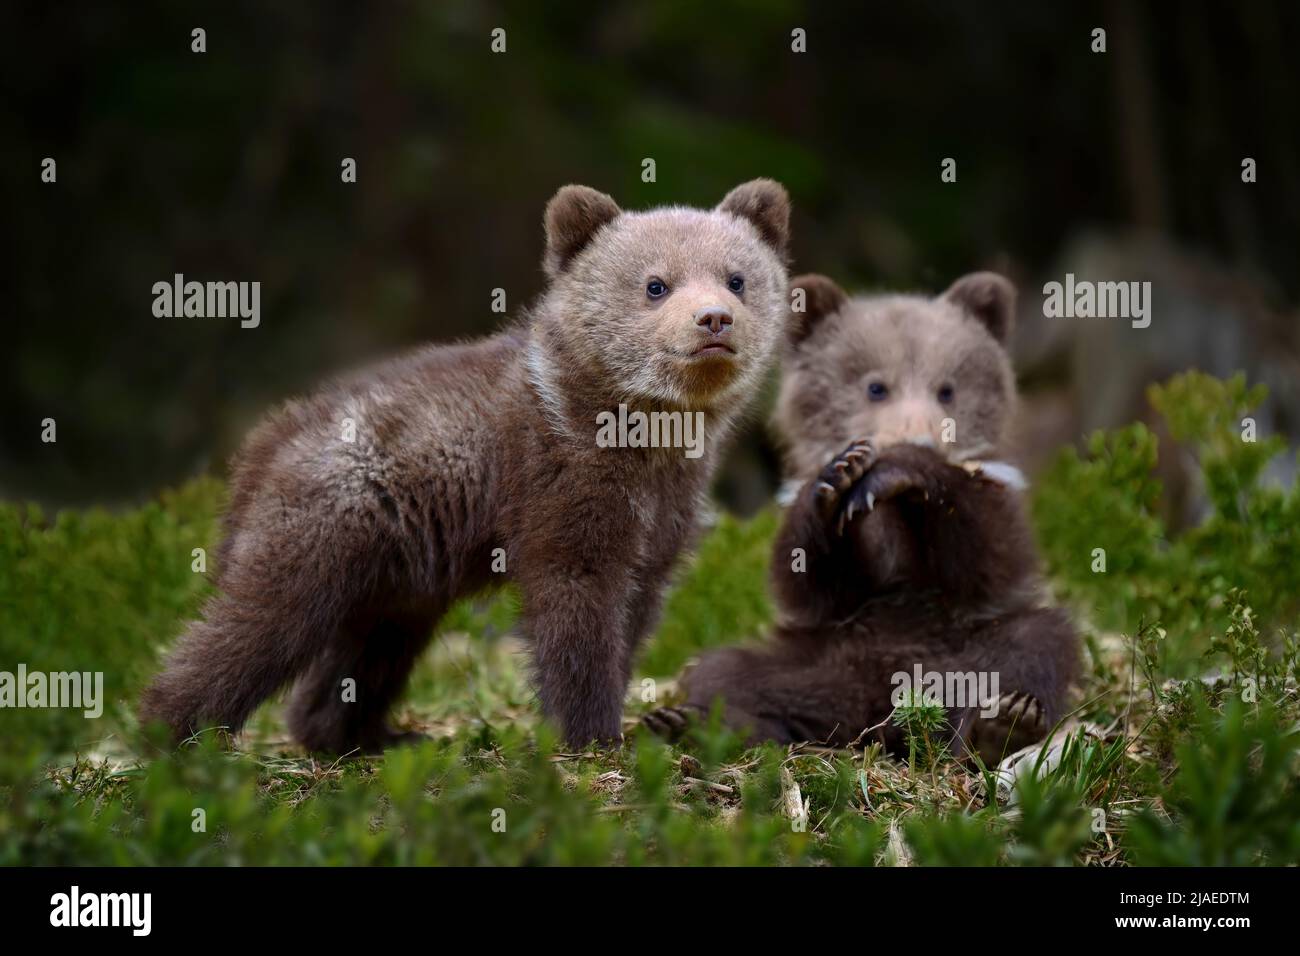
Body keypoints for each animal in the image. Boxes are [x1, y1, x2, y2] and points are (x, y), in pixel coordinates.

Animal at [139, 179, 793, 752]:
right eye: (656, 284)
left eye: (737, 278)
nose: (713, 319)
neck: (645, 430)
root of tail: (267, 441)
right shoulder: (560, 482)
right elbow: (575, 596)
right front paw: (592, 732)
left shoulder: (665, 510)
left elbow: (637, 604)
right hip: (327, 520)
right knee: (259, 622)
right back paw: (172, 730)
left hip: (397, 572)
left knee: (368, 648)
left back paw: (365, 735)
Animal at [642, 272, 1079, 764]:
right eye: (876, 387)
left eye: (947, 389)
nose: (919, 432)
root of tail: (881, 713)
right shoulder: (835, 590)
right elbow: (808, 576)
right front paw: (840, 474)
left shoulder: (996, 499)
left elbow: (987, 557)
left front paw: (900, 468)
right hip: (818, 656)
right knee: (729, 670)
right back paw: (699, 723)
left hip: (963, 649)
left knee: (1035, 643)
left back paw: (1003, 724)